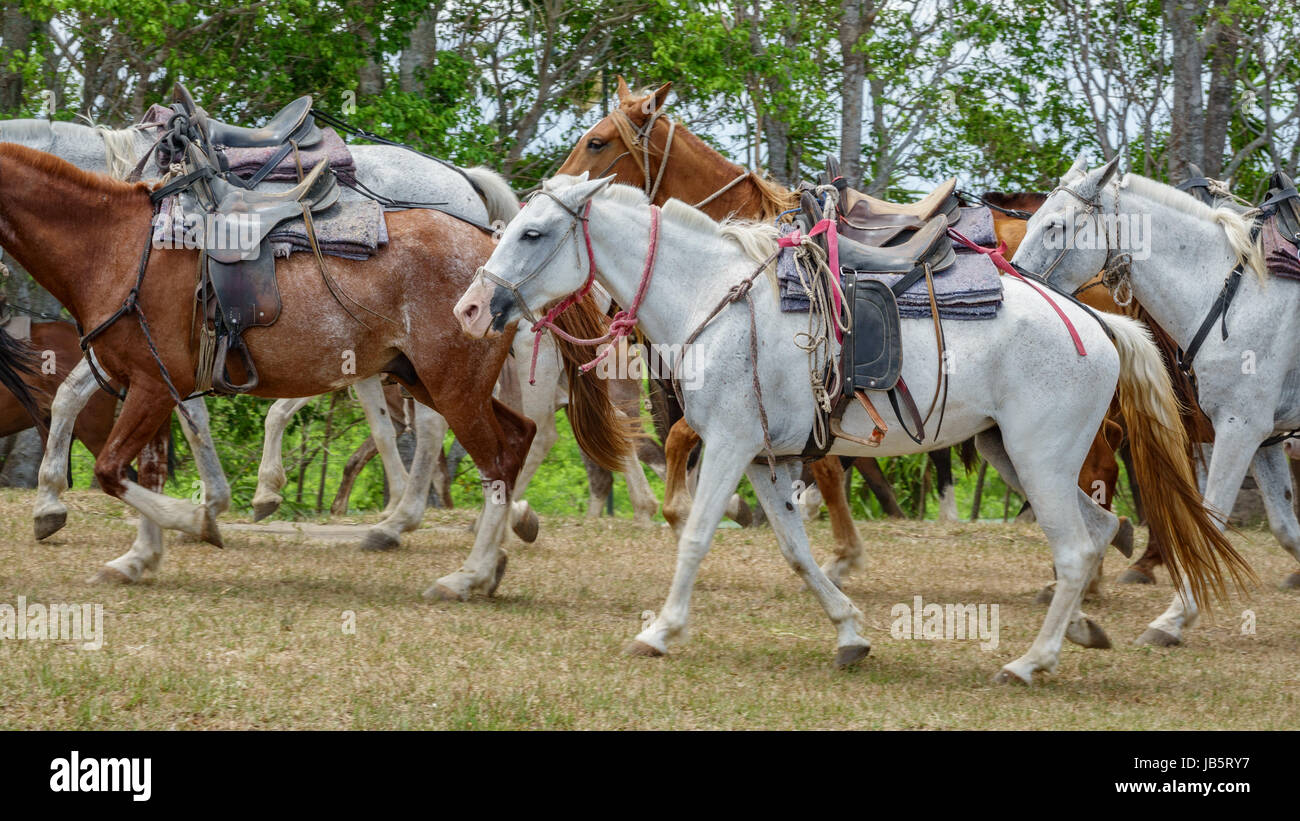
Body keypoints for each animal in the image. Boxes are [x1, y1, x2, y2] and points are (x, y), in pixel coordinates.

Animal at [0, 142, 625, 597]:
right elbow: (138, 466)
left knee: (492, 457)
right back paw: (487, 559)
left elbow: (113, 470)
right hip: (431, 381)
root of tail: (494, 262)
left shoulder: (154, 387)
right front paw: (137, 556)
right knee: (515, 440)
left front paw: (199, 521)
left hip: (453, 388)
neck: (119, 247)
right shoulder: (149, 384)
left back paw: (461, 571)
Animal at [452, 173, 1252, 681]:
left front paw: (659, 630)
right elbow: (798, 552)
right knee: (1100, 529)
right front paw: (850, 633)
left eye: (533, 232)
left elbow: (697, 536)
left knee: (1077, 548)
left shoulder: (730, 446)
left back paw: (1030, 661)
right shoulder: (766, 458)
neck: (714, 296)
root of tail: (1095, 319)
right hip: (1010, 453)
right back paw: (1080, 630)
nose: (469, 308)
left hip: (1041, 460)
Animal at [1014, 156, 1293, 649]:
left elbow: (1210, 523)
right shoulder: (1265, 438)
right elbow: (1286, 529)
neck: (1231, 293)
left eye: (1055, 225)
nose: (1012, 280)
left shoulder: (1239, 428)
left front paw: (1173, 618)